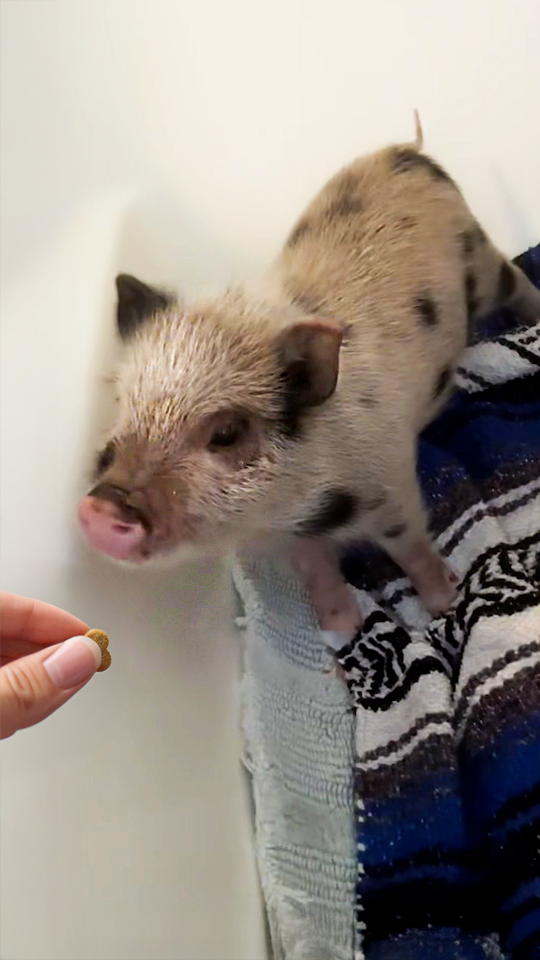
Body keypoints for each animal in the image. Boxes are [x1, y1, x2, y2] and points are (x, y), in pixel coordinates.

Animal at [78, 116, 540, 643]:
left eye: (225, 433)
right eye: (121, 406)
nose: (103, 505)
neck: (293, 507)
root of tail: (407, 151)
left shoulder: (392, 484)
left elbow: (410, 550)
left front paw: (444, 602)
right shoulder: (293, 535)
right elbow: (316, 569)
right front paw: (340, 628)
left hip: (477, 258)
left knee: (514, 281)